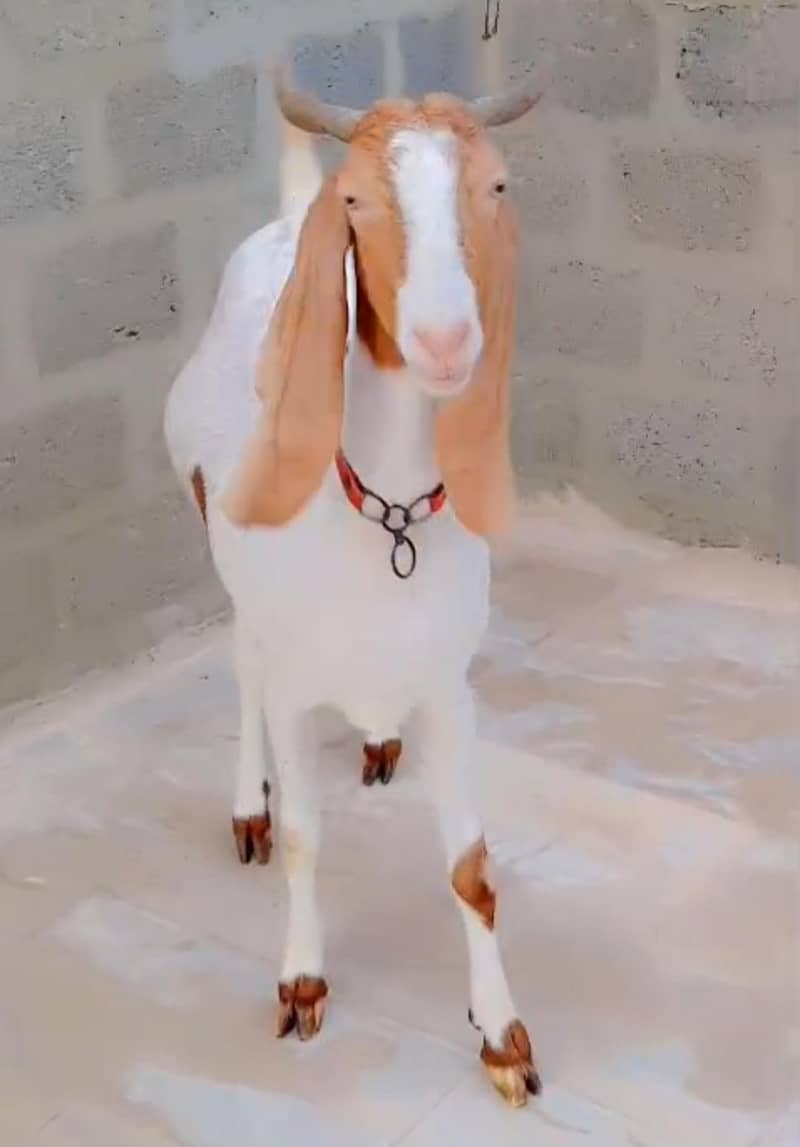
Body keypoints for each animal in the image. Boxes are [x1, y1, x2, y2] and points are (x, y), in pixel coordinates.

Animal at [164, 66, 541, 1106]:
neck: (387, 515)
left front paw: (502, 1036)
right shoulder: (296, 683)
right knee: (242, 665)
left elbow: (471, 867)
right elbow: (304, 836)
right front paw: (301, 981)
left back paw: (376, 739)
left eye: (493, 186)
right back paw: (245, 804)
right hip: (226, 549)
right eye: (360, 203)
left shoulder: (450, 686)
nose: (447, 339)